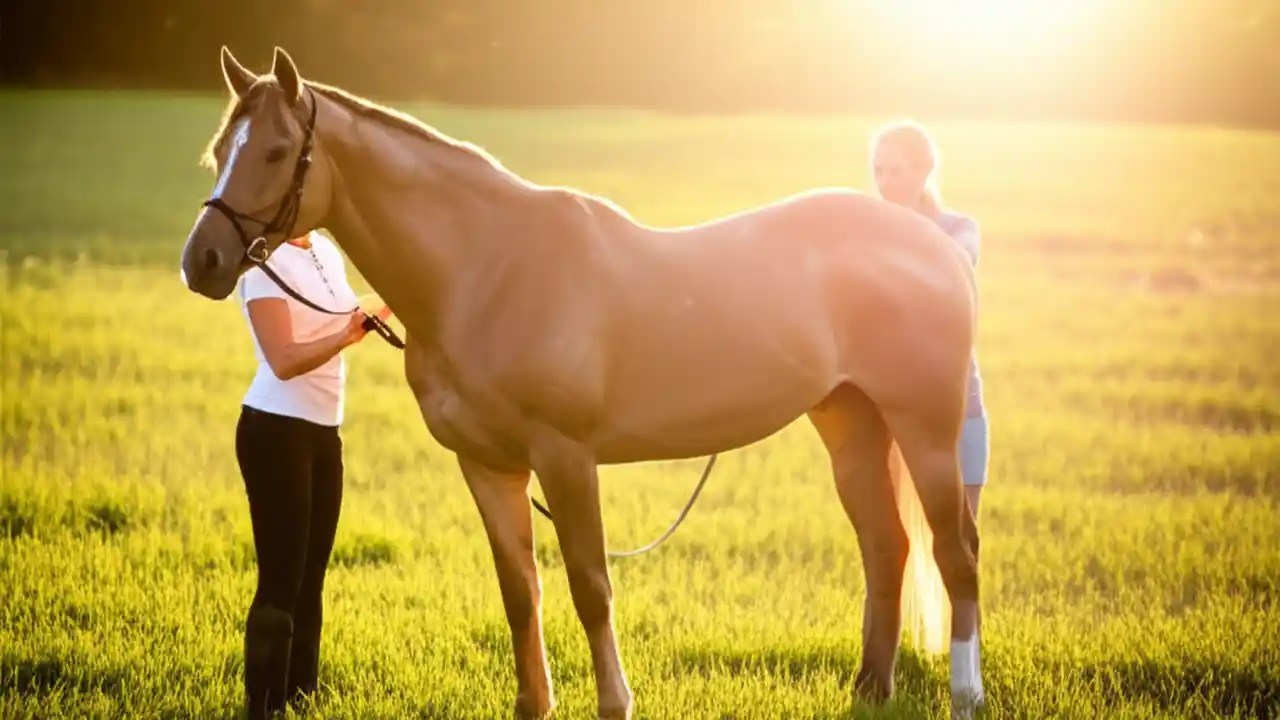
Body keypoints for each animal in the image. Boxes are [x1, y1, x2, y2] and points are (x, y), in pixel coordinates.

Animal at [180, 46, 984, 719]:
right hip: (851, 423)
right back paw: (871, 688)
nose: (202, 262)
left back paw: (966, 693)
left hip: (925, 430)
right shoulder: (488, 466)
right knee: (886, 545)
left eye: (276, 151)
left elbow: (591, 587)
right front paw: (533, 705)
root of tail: (933, 246)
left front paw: (614, 702)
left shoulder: (566, 459)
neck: (484, 270)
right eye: (219, 151)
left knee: (956, 550)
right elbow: (520, 592)